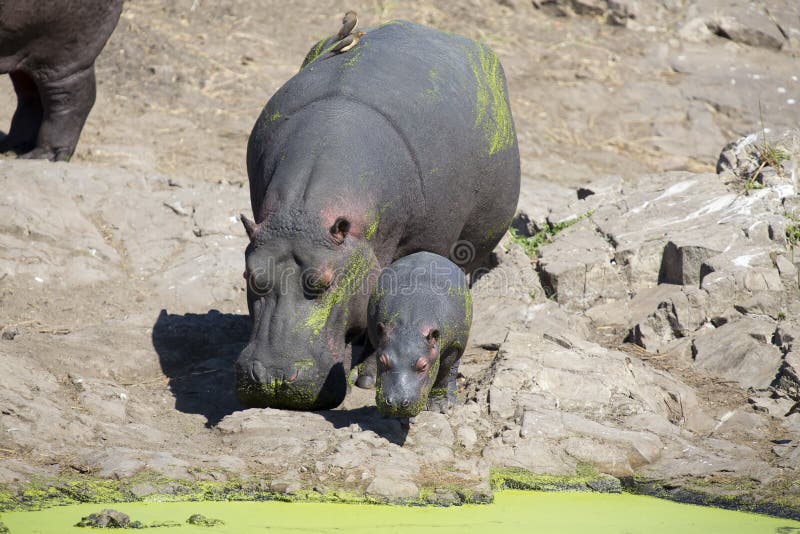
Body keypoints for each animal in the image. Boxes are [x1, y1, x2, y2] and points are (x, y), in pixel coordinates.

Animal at [367, 252, 471, 417]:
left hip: (460, 345)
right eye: (382, 361)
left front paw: (438, 407)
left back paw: (452, 401)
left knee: (452, 372)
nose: (396, 403)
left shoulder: (451, 347)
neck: (410, 326)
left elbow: (442, 374)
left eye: (423, 366)